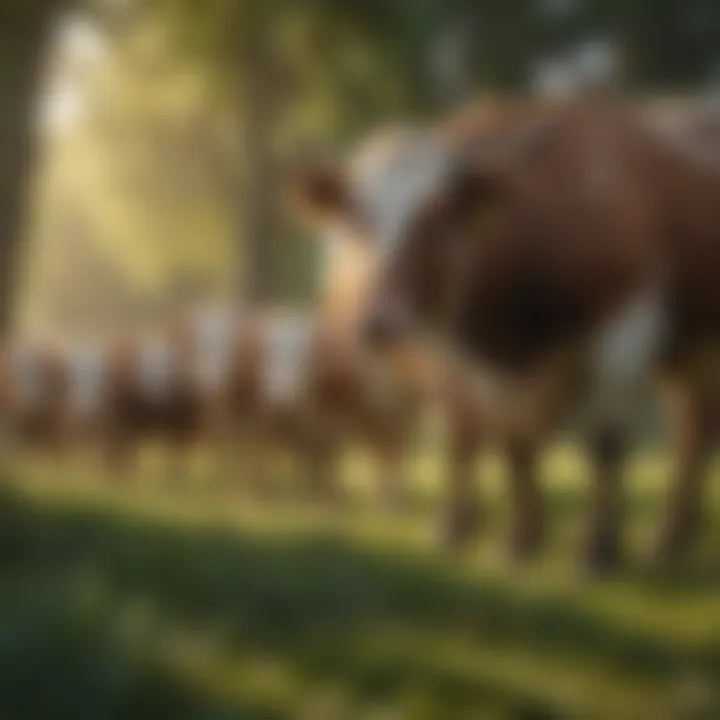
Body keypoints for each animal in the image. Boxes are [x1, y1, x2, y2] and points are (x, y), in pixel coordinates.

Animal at [286, 93, 720, 572]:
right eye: (357, 218)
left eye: (440, 216)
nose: (379, 322)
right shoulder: (468, 362)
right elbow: (504, 443)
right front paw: (513, 538)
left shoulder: (625, 331)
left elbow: (604, 444)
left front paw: (598, 549)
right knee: (695, 422)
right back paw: (672, 536)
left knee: (691, 426)